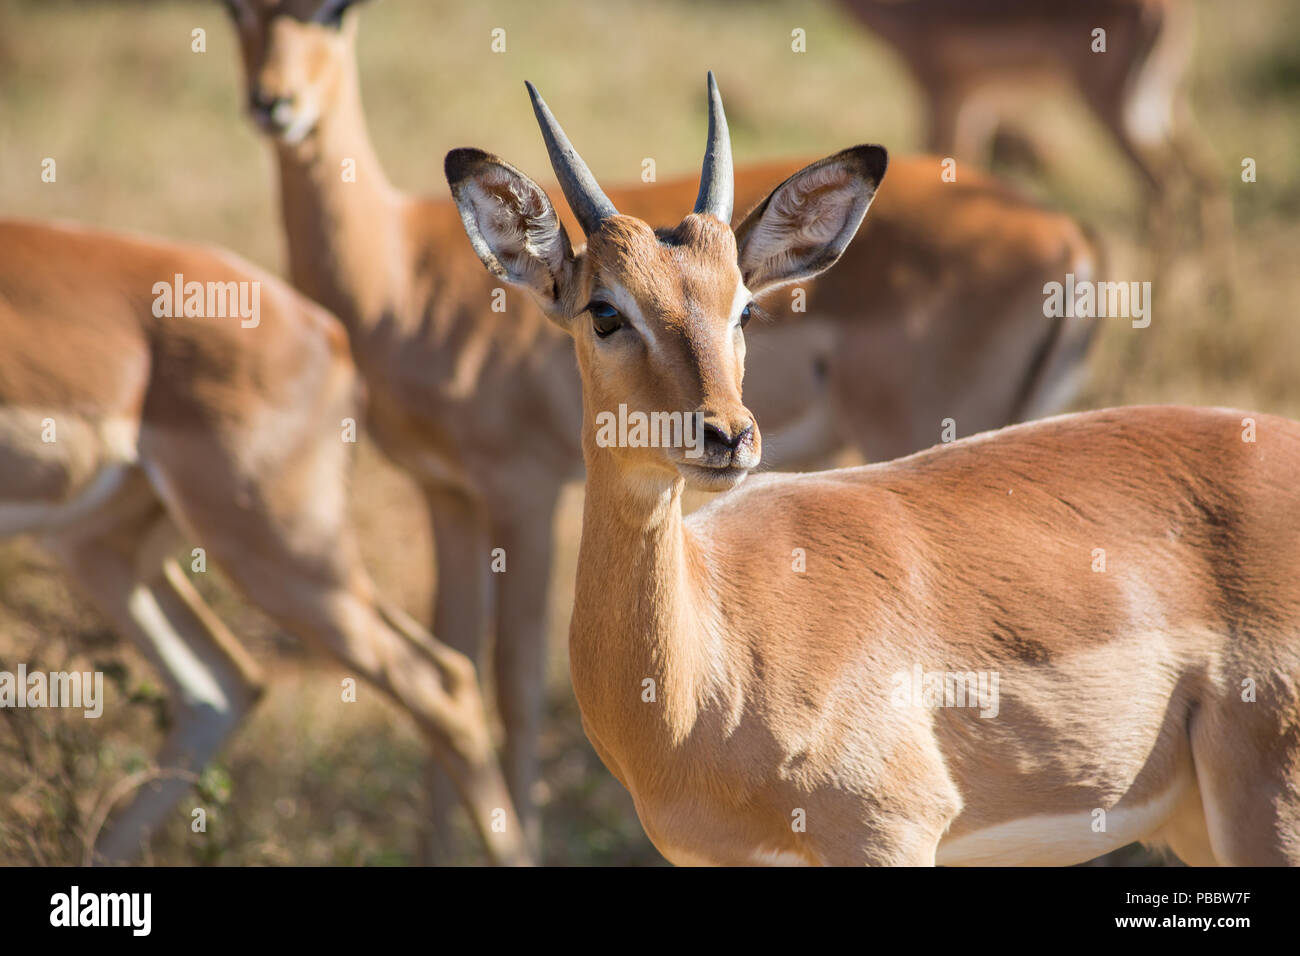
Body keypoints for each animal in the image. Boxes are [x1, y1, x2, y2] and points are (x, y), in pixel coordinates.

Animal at [221, 0, 1098, 849]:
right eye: (605, 311)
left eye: (745, 308)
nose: (728, 436)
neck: (402, 273)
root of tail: (1071, 241)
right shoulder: (448, 495)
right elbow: (456, 657)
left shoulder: (521, 492)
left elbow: (510, 682)